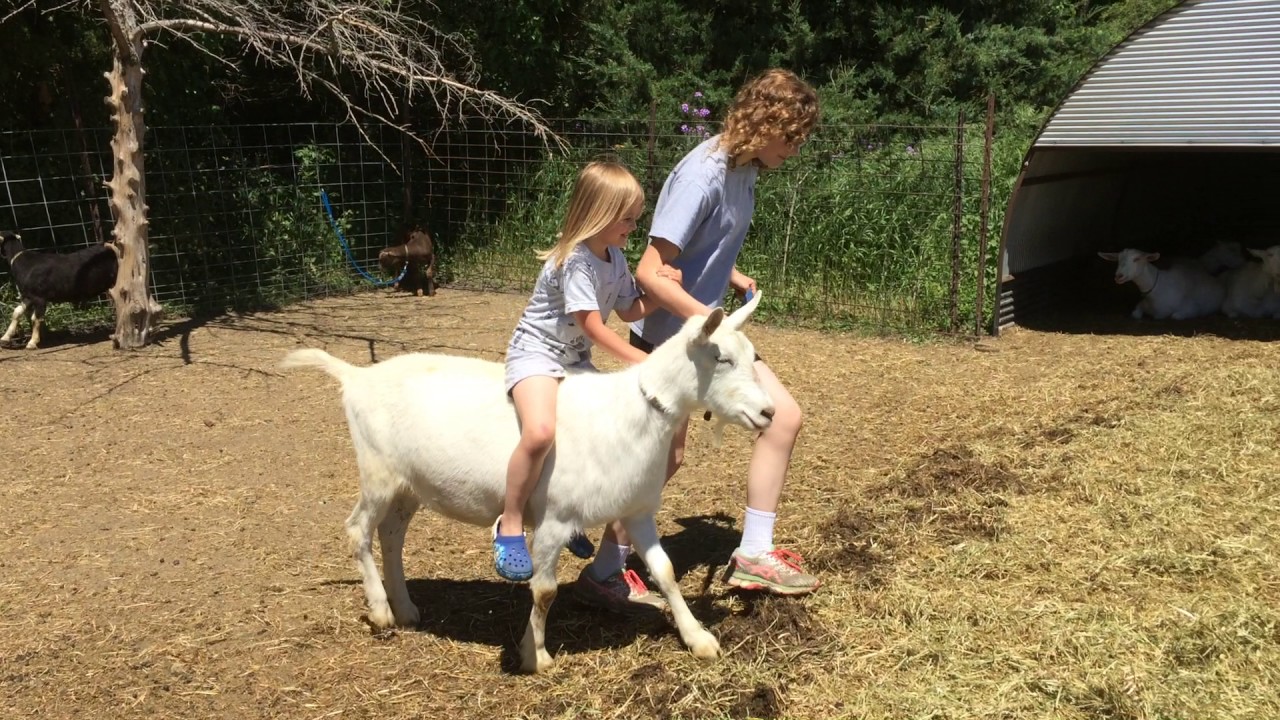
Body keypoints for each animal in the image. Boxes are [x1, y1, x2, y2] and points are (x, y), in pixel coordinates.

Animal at [279, 293, 776, 673]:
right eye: (721, 357)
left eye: (752, 356)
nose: (768, 412)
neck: (631, 414)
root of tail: (356, 376)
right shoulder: (555, 516)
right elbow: (545, 589)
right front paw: (535, 655)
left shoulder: (637, 510)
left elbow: (666, 571)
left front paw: (698, 638)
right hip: (377, 471)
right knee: (357, 529)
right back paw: (381, 611)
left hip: (409, 484)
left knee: (391, 534)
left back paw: (405, 608)